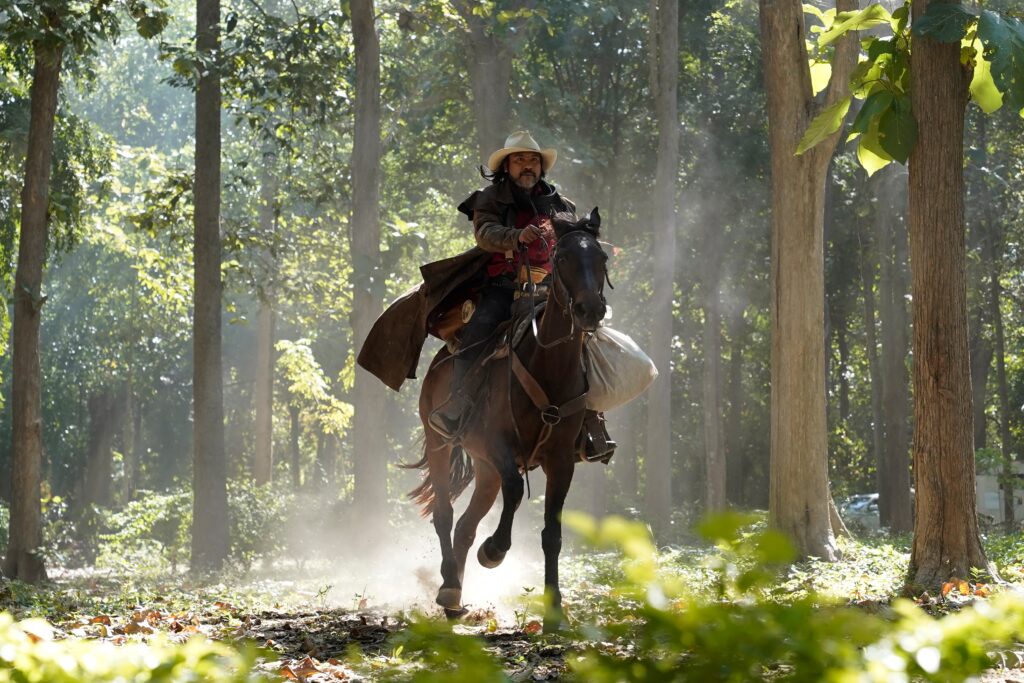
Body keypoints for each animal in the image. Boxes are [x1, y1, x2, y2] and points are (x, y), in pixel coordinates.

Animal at [404, 209, 608, 631]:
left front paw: (554, 613)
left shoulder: (560, 461)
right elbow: (515, 491)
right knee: (446, 515)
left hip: (485, 470)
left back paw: (455, 598)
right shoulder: (498, 445)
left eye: (602, 258)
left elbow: (552, 533)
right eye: (564, 258)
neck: (547, 366)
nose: (591, 310)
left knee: (466, 525)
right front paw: (494, 550)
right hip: (442, 444)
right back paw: (449, 586)